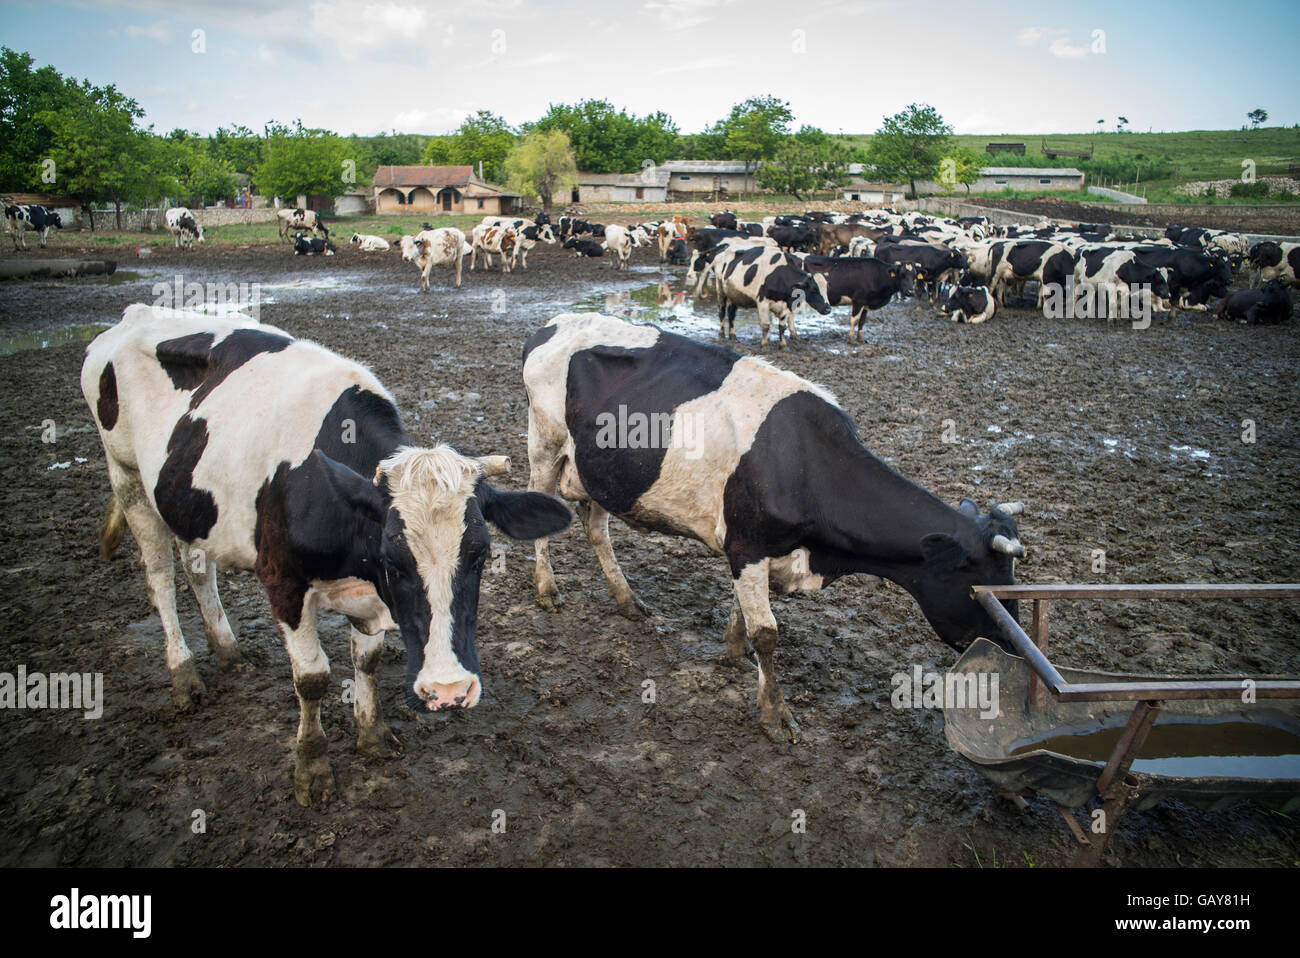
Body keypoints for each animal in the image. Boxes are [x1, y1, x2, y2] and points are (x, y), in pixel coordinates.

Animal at [82, 304, 572, 803]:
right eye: (393, 560)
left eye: (480, 554)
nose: (448, 689)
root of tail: (137, 313)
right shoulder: (283, 582)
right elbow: (312, 678)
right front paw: (312, 767)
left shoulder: (370, 594)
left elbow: (367, 662)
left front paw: (372, 734)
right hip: (127, 477)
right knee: (160, 579)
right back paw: (184, 675)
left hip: (186, 503)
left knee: (197, 570)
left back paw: (228, 650)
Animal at [521, 312, 1025, 741]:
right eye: (981, 591)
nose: (1013, 649)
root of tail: (553, 322)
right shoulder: (748, 544)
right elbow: (767, 632)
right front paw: (774, 713)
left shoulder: (750, 548)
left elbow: (743, 611)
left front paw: (734, 651)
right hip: (544, 446)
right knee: (540, 512)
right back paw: (547, 588)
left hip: (599, 473)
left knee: (597, 530)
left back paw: (626, 599)